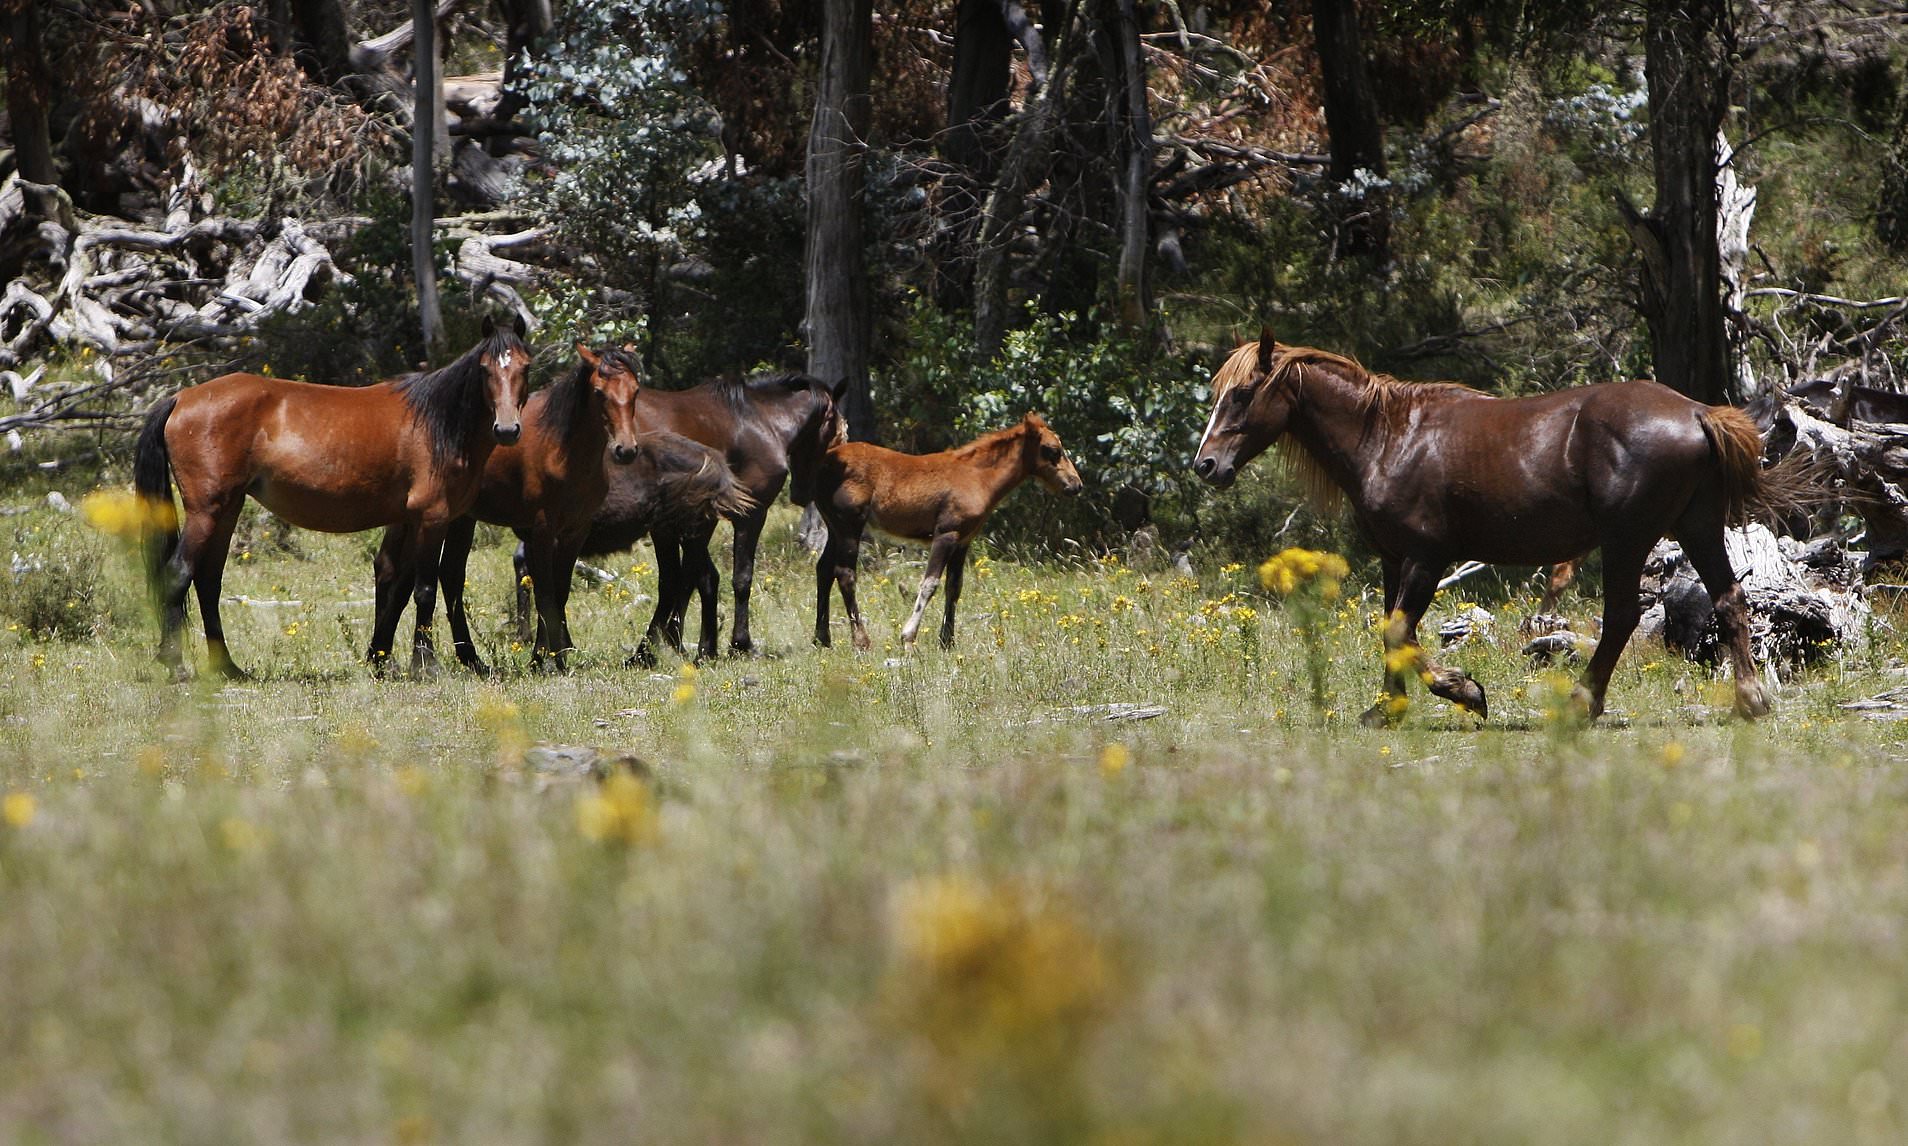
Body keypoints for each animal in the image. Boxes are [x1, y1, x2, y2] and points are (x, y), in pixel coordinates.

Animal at [134, 316, 531, 679]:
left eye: (525, 367)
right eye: (485, 369)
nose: (507, 429)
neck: (439, 423)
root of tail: (180, 398)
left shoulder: (415, 519)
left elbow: (402, 586)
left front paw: (384, 659)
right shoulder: (434, 517)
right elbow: (425, 589)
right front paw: (425, 665)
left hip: (227, 509)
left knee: (208, 581)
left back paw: (227, 667)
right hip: (206, 511)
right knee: (178, 574)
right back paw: (176, 666)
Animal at [628, 371, 847, 662]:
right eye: (832, 432)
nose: (802, 493)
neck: (761, 420)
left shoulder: (694, 521)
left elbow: (689, 577)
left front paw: (684, 644)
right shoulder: (751, 514)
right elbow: (740, 578)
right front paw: (739, 643)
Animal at [812, 412, 1083, 650]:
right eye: (1052, 449)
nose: (1076, 485)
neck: (978, 477)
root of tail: (825, 461)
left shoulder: (964, 540)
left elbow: (954, 587)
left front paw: (947, 642)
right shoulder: (946, 533)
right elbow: (929, 583)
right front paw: (908, 637)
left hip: (834, 527)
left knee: (824, 569)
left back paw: (822, 639)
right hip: (849, 525)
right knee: (845, 573)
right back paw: (861, 641)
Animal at [1193, 331, 1810, 724]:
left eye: (1243, 393)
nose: (1207, 465)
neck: (1387, 436)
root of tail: (1696, 413)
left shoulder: (1426, 558)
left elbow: (1400, 633)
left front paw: (1465, 691)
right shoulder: (1394, 559)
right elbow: (1392, 632)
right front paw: (1388, 708)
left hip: (1627, 540)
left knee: (1621, 618)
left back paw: (1581, 704)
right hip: (1698, 528)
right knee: (1728, 599)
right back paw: (1750, 700)